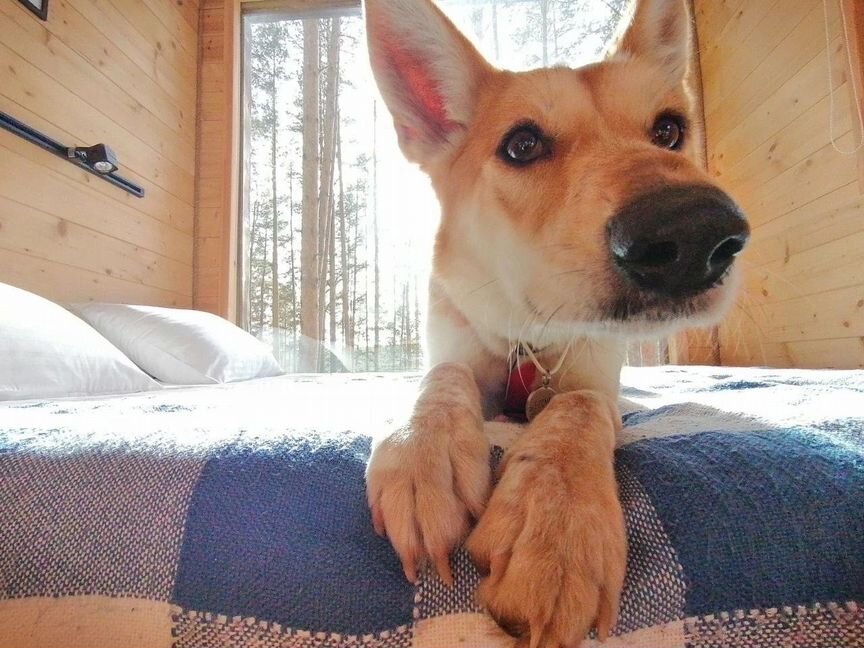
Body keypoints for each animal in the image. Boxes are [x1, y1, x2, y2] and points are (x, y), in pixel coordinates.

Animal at [361, 0, 749, 644]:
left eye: (669, 130)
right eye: (522, 145)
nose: (697, 232)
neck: (528, 337)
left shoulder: (594, 378)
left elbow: (578, 408)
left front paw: (556, 522)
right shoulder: (453, 345)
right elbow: (442, 378)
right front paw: (423, 448)